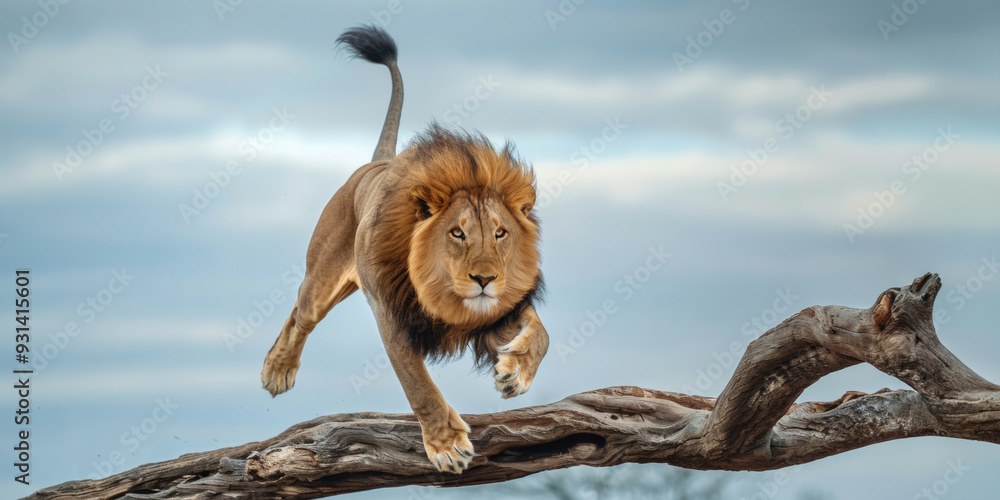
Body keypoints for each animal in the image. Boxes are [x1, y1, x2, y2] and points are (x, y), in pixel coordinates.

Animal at [260, 25, 549, 474]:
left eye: (500, 233)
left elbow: (541, 335)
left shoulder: (497, 311)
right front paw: (447, 445)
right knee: (299, 316)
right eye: (457, 233)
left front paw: (514, 372)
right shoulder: (392, 316)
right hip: (322, 279)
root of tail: (375, 165)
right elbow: (418, 384)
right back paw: (277, 370)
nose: (485, 278)